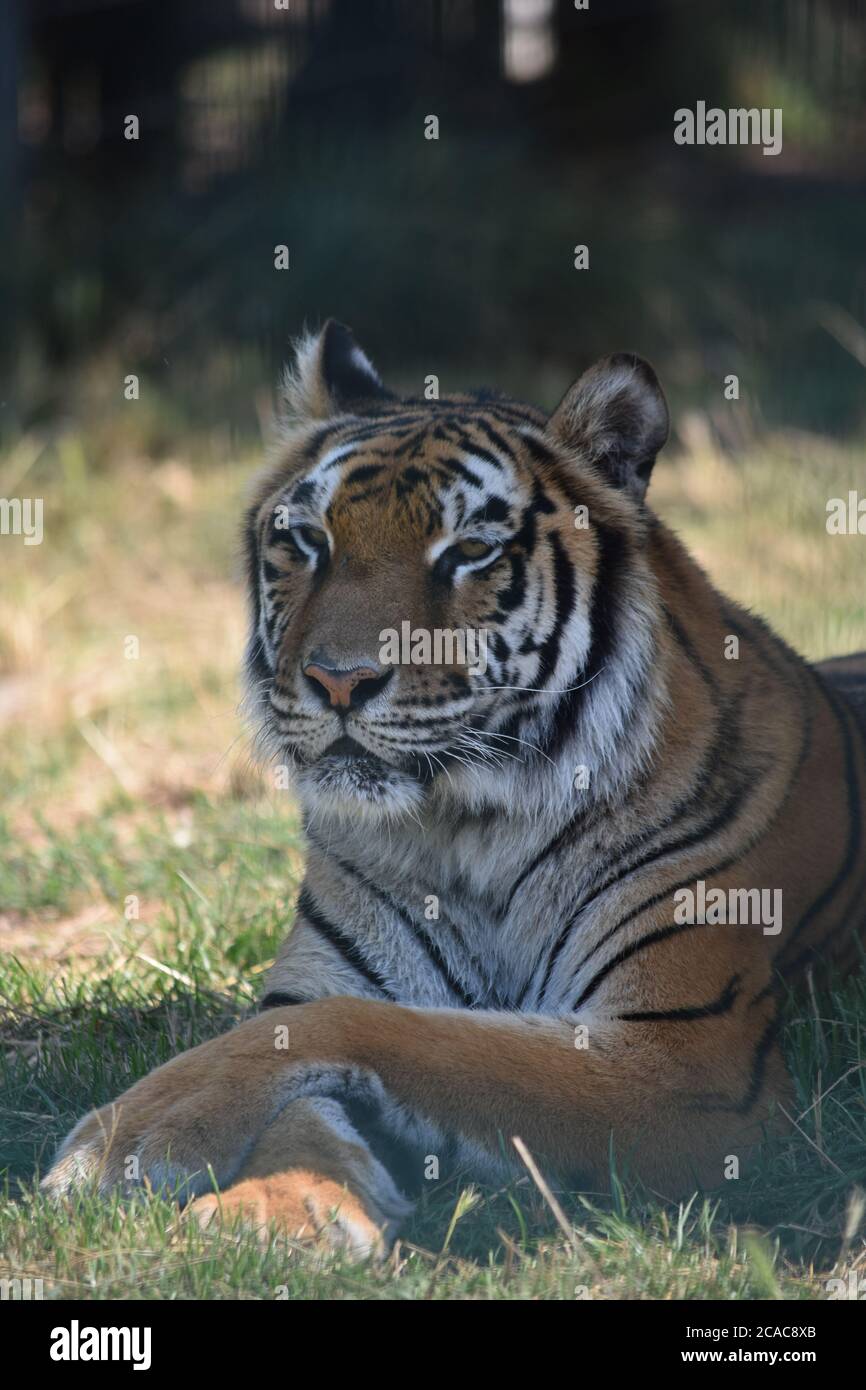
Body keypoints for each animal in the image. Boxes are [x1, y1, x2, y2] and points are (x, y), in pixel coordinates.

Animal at [43, 320, 866, 1257]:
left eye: (469, 551)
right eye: (308, 540)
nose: (338, 681)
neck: (467, 831)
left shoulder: (688, 1058)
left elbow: (393, 1034)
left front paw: (124, 1138)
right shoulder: (315, 985)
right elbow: (303, 1087)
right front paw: (274, 1209)